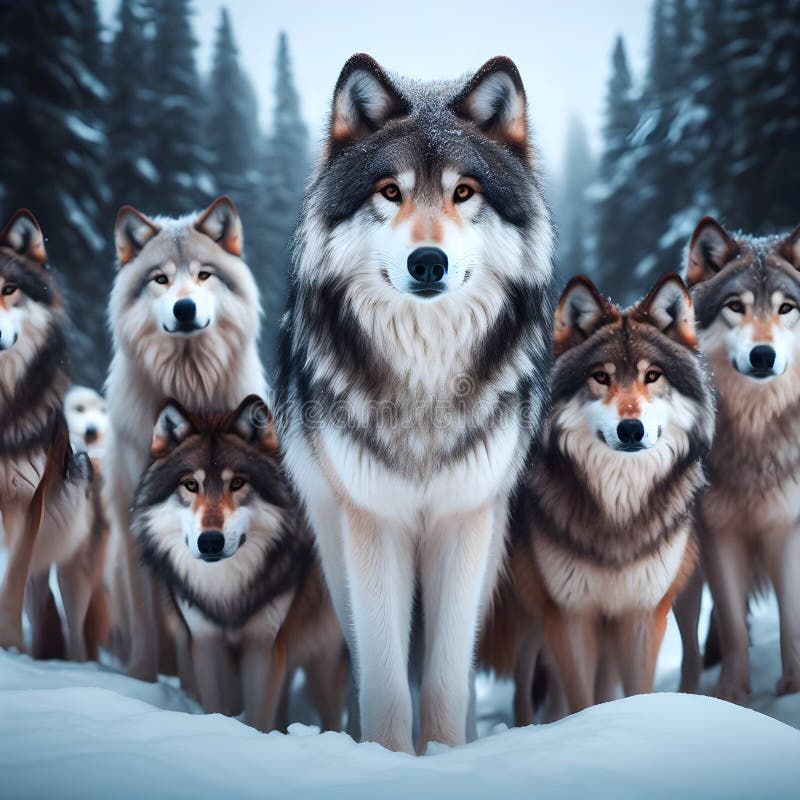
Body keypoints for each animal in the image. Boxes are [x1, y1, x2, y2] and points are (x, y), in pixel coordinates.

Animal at [105, 196, 265, 680]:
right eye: (160, 279)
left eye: (203, 274)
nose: (185, 308)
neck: (189, 386)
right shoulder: (136, 525)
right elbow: (148, 616)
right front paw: (142, 680)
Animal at [131, 395, 346, 731]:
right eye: (191, 484)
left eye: (238, 483)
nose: (210, 541)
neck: (226, 591)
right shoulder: (206, 643)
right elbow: (217, 707)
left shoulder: (264, 646)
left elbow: (259, 717)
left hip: (325, 659)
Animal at [276, 54, 555, 752]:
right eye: (389, 192)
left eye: (464, 193)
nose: (427, 261)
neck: (426, 383)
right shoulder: (373, 522)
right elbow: (385, 685)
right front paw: (387, 756)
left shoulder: (463, 522)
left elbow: (444, 682)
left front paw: (450, 758)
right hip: (335, 545)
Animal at [481, 274, 715, 717]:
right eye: (601, 377)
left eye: (653, 375)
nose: (631, 430)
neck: (618, 509)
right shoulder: (569, 615)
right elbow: (579, 698)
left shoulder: (642, 614)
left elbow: (635, 688)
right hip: (529, 621)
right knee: (524, 687)